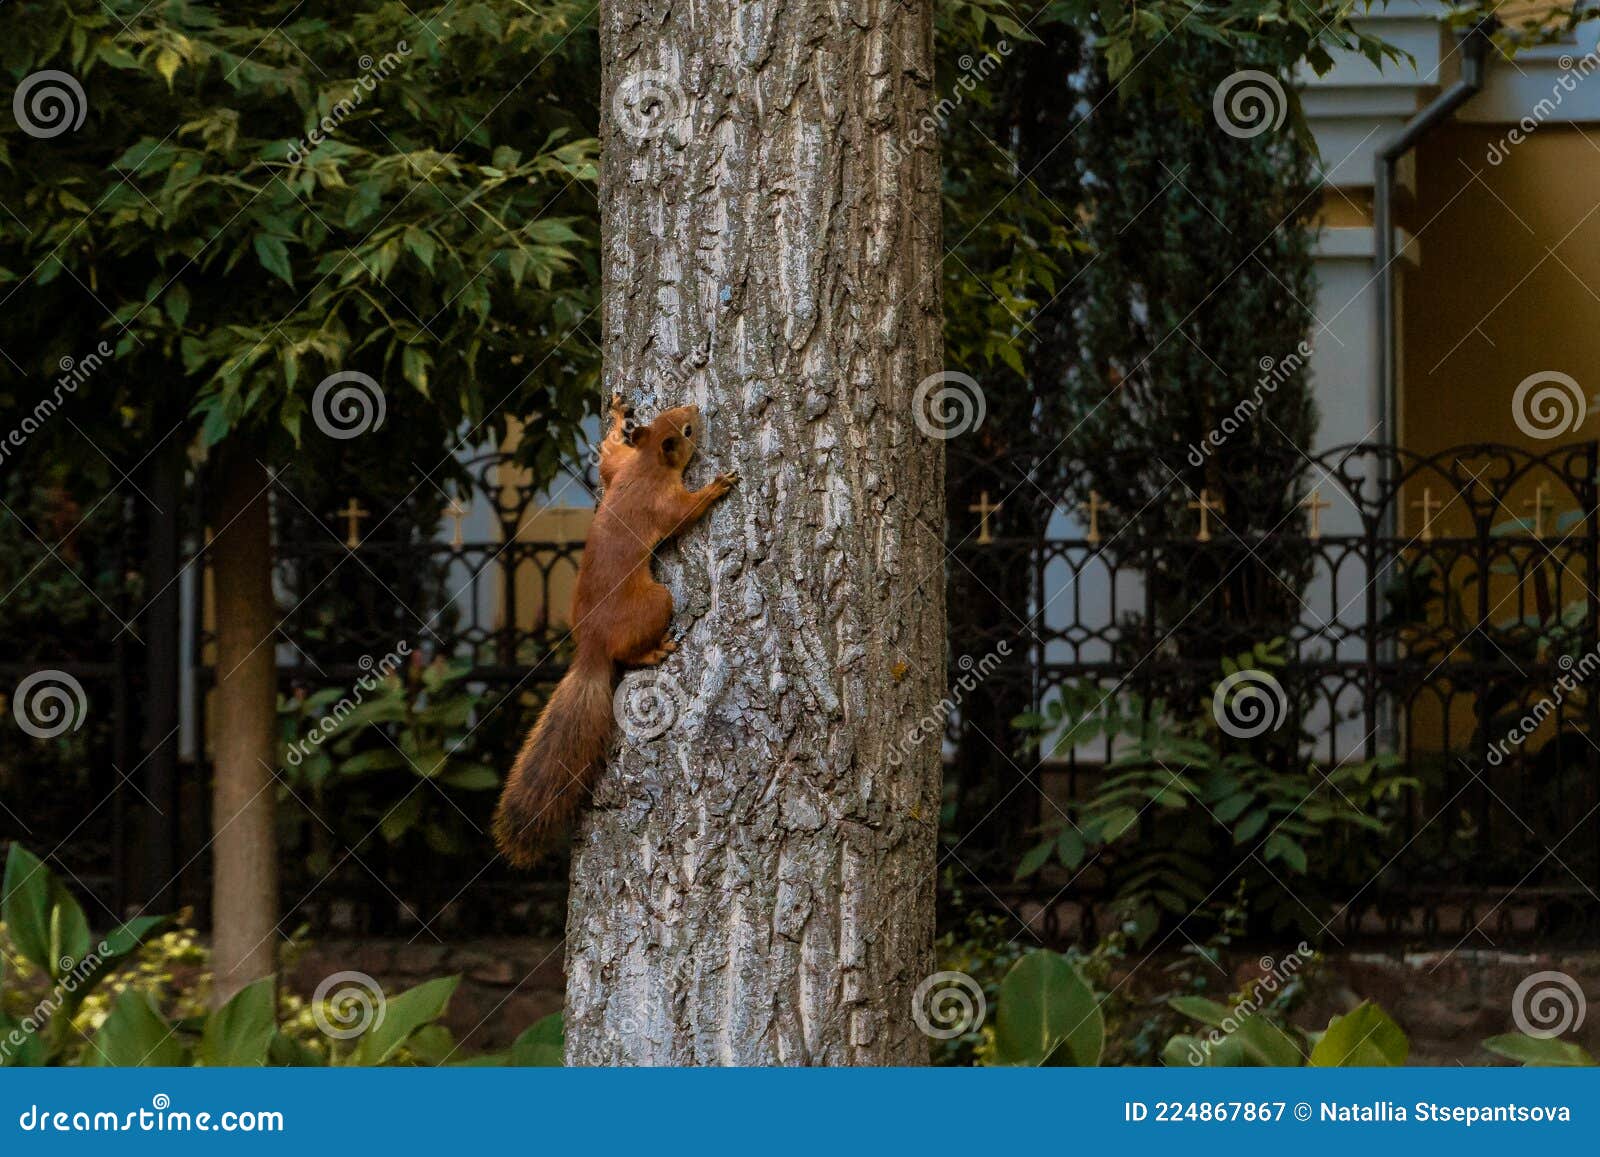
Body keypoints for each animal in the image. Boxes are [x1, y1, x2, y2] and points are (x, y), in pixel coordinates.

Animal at [492, 392, 738, 867]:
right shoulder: (664, 503)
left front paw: (620, 415)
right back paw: (653, 651)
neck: (646, 466)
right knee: (629, 651)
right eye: (686, 431)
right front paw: (716, 488)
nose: (695, 410)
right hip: (656, 602)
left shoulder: (619, 469)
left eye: (674, 416)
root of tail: (590, 645)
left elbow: (608, 456)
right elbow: (685, 514)